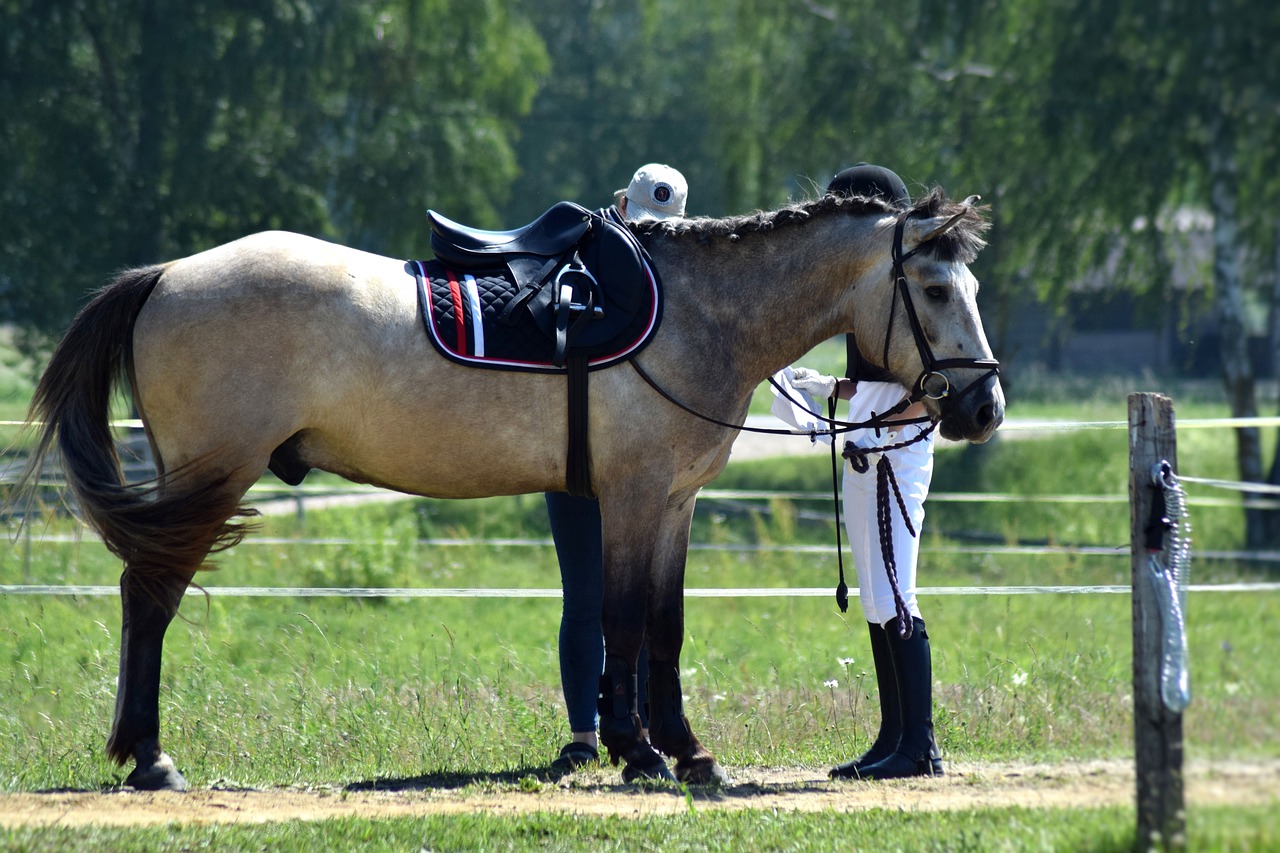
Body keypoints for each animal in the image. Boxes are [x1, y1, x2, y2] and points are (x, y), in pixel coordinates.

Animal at [18, 187, 1004, 791]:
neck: (694, 312)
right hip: (209, 476)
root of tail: (165, 276)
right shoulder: (634, 496)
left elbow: (666, 627)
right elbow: (623, 622)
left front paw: (683, 749)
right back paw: (150, 756)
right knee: (150, 597)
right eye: (932, 286)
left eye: (971, 283)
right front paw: (640, 751)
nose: (985, 406)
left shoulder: (673, 503)